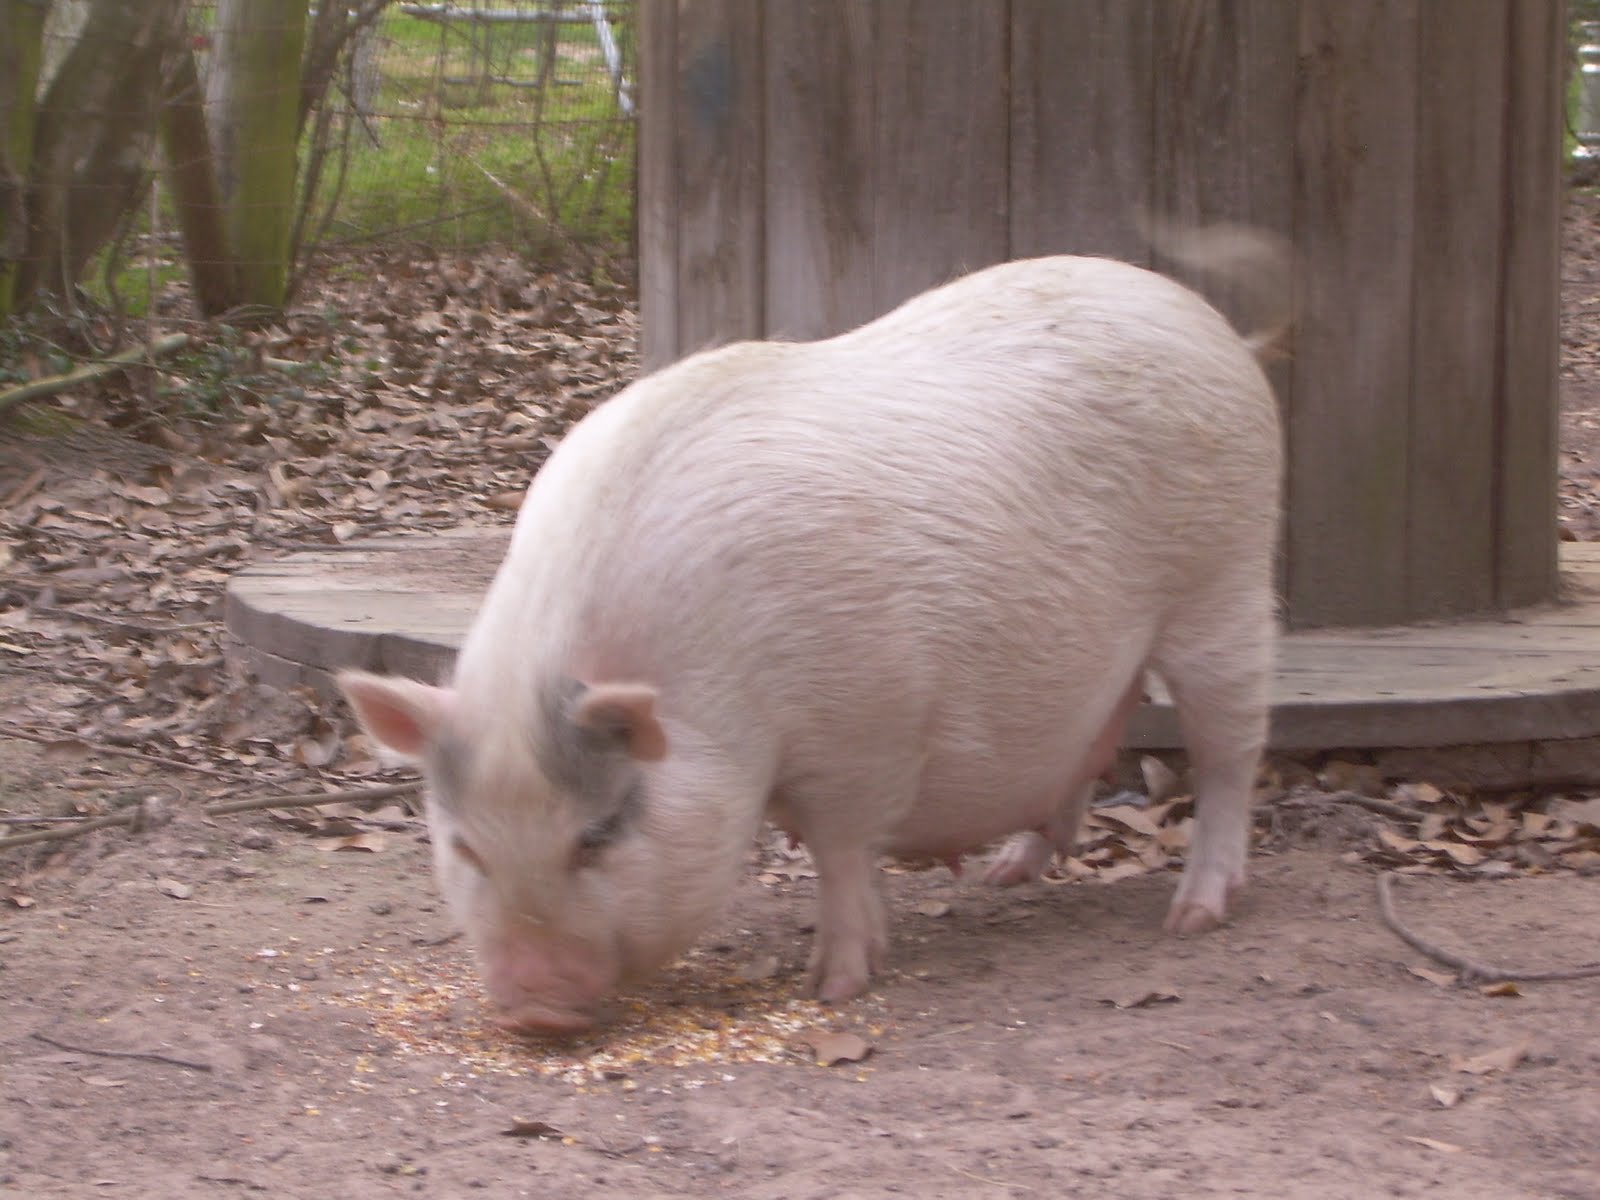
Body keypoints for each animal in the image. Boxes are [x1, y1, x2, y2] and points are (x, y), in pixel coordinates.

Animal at [339, 246, 1283, 1032]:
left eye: (598, 834)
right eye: (464, 845)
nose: (534, 1012)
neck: (719, 696)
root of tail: (1207, 319)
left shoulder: (867, 728)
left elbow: (841, 850)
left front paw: (834, 986)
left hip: (1227, 582)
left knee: (1231, 754)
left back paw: (1192, 916)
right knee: (1094, 741)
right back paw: (1005, 873)